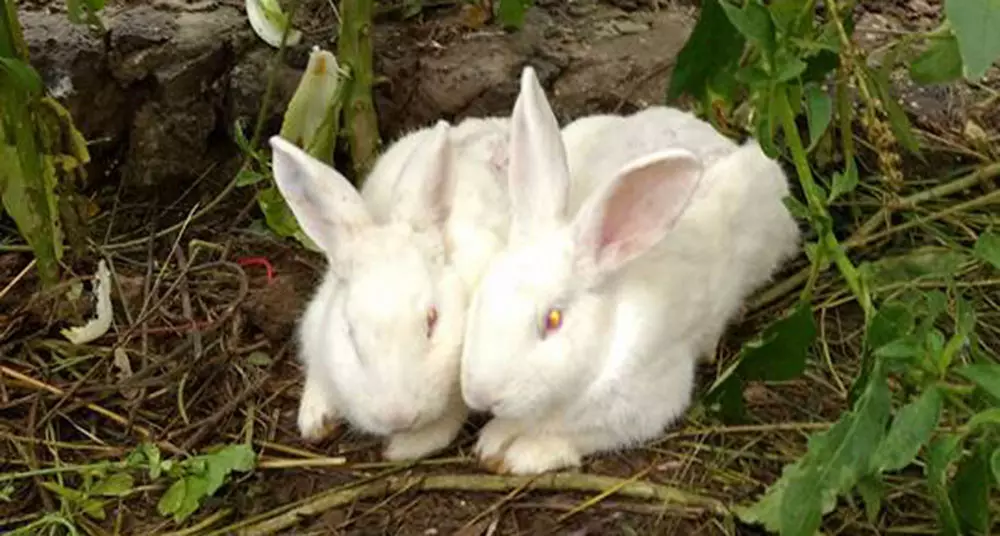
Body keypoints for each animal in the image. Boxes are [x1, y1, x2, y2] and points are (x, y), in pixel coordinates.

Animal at [458, 67, 796, 474]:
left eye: (553, 319)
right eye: (482, 297)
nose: (481, 394)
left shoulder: (644, 405)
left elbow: (575, 434)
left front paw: (525, 453)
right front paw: (493, 441)